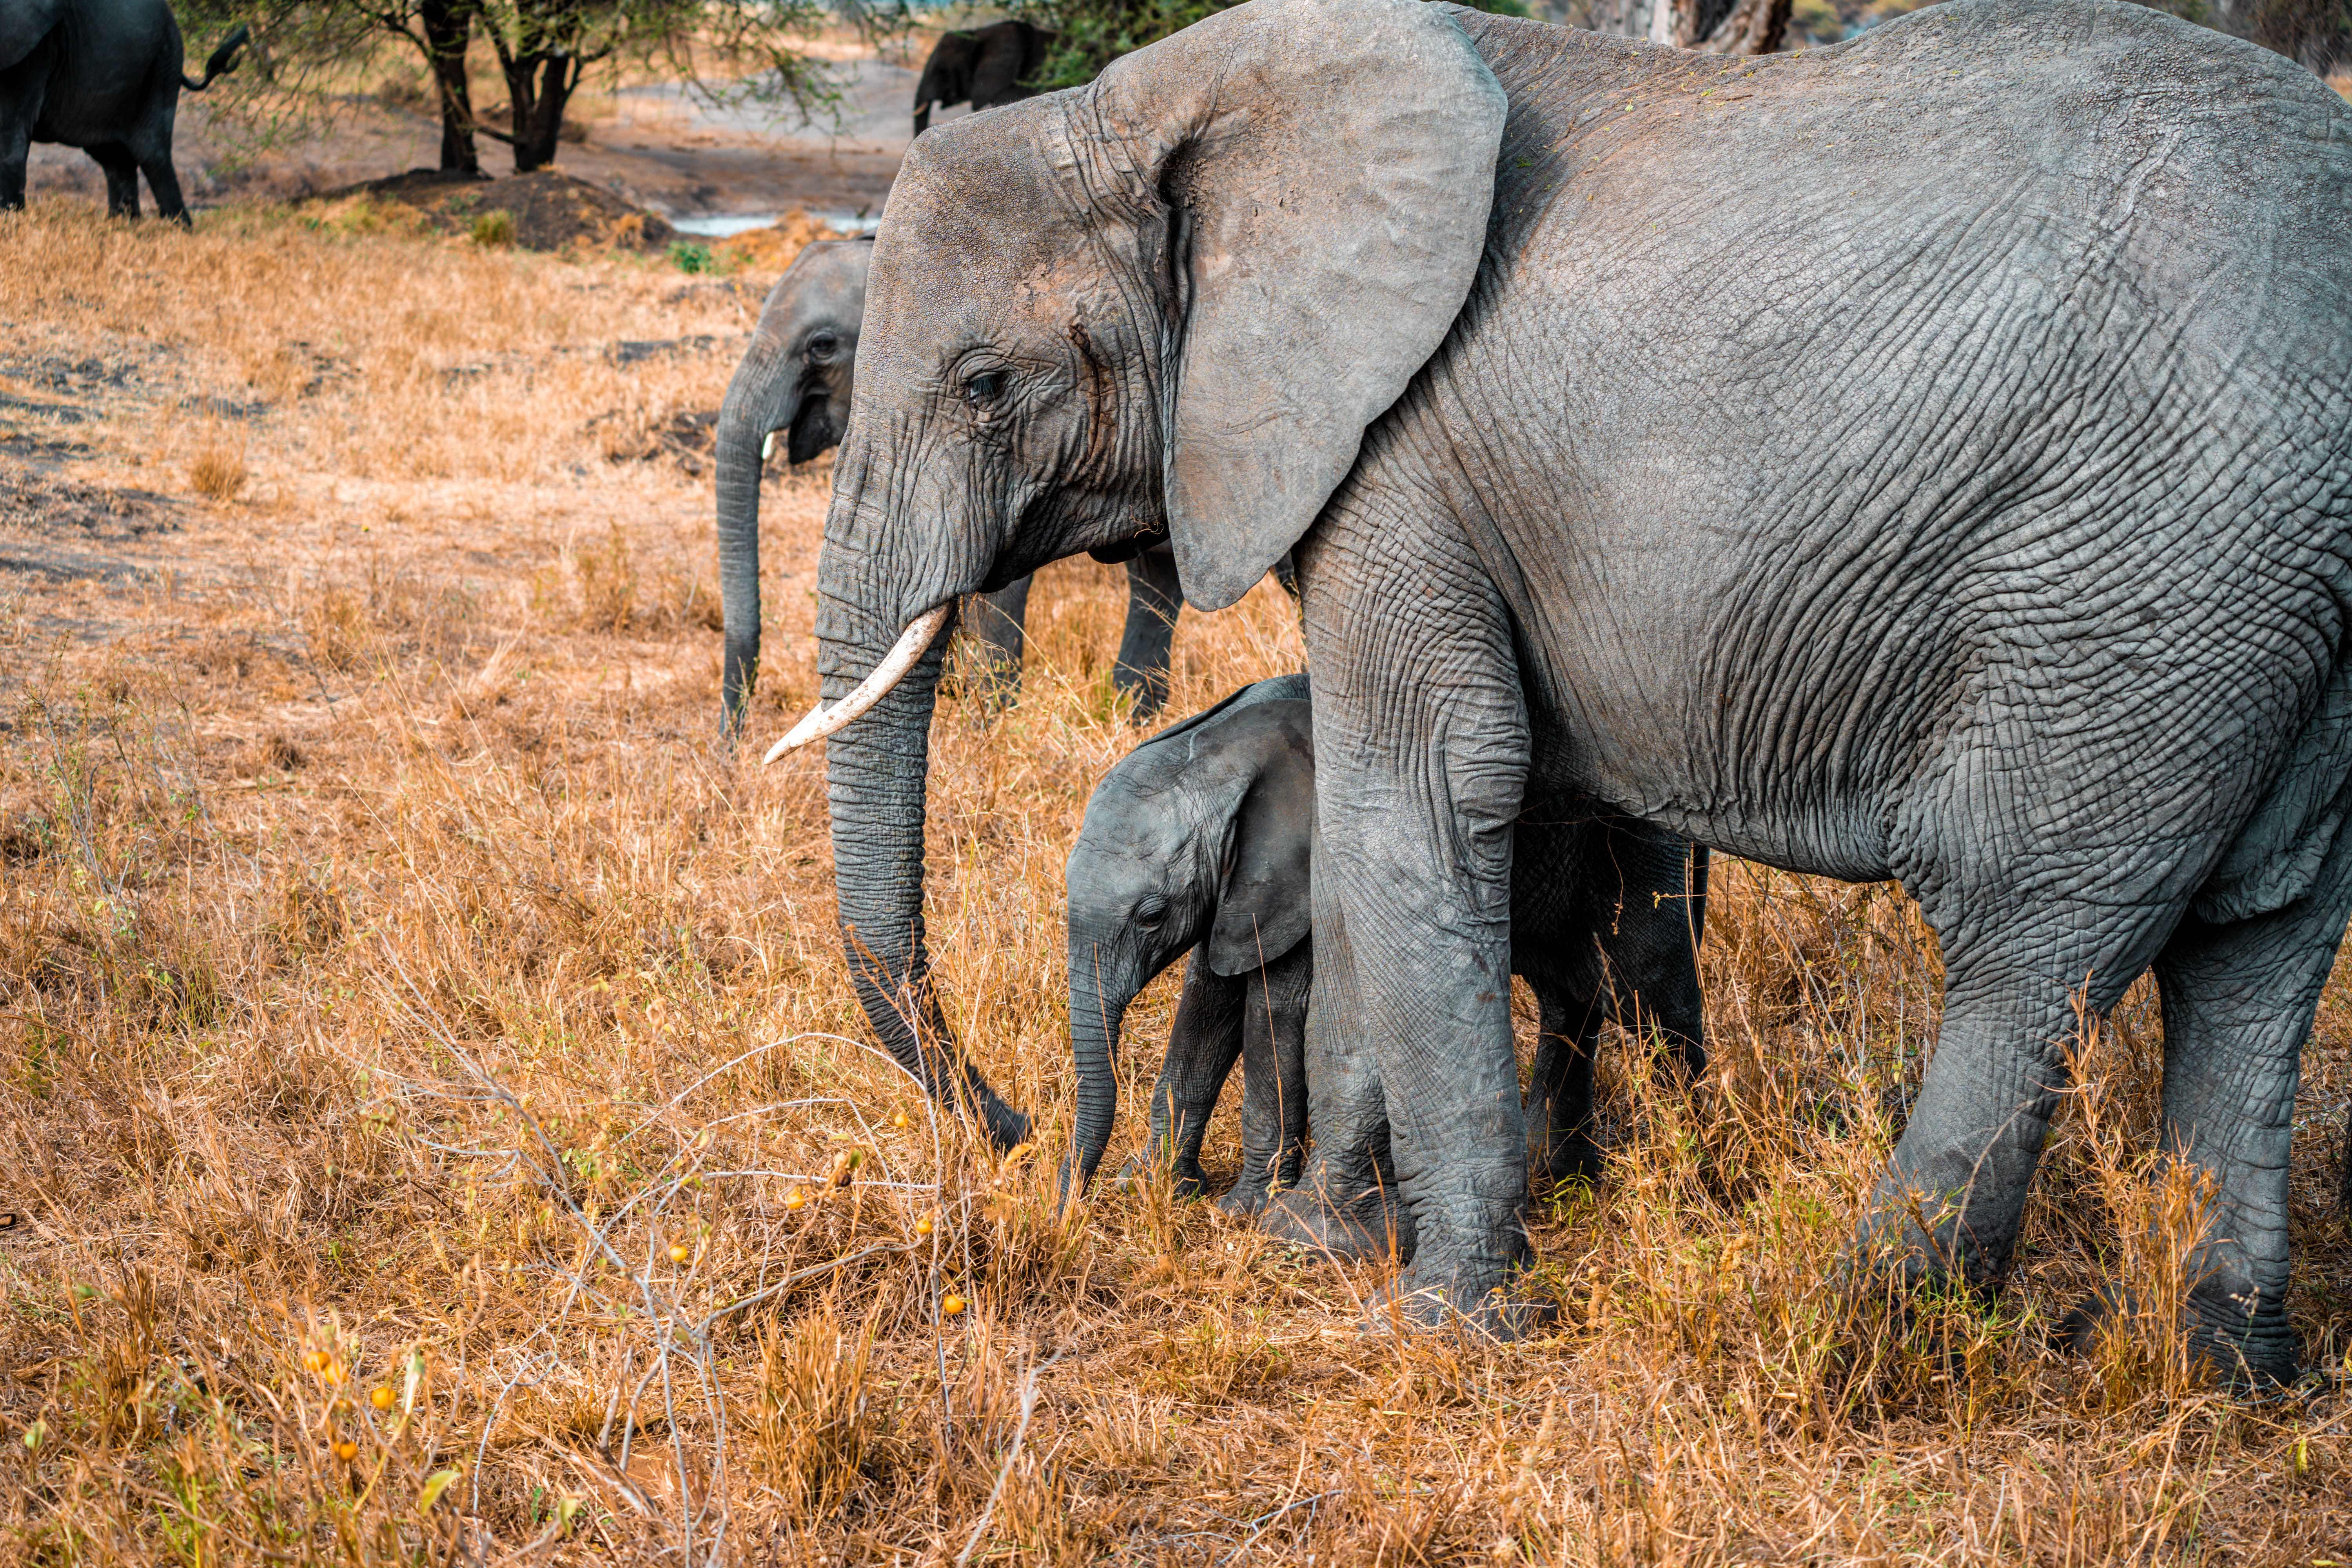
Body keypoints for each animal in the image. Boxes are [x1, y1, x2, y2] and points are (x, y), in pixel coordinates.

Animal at [0, 0, 247, 222]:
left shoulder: (36, 51)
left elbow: (11, 140)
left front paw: (10, 223)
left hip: (163, 63)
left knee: (152, 153)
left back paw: (178, 231)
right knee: (115, 160)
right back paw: (125, 227)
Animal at [1064, 673, 1707, 1221]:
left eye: (1151, 917)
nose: (1071, 1201)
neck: (1215, 748)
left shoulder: (1308, 869)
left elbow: (1273, 1013)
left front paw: (1242, 1212)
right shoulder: (1239, 890)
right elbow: (1206, 1009)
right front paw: (1151, 1187)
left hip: (1637, 851)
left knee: (1656, 999)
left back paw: (1698, 1169)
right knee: (1571, 1000)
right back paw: (1559, 1177)